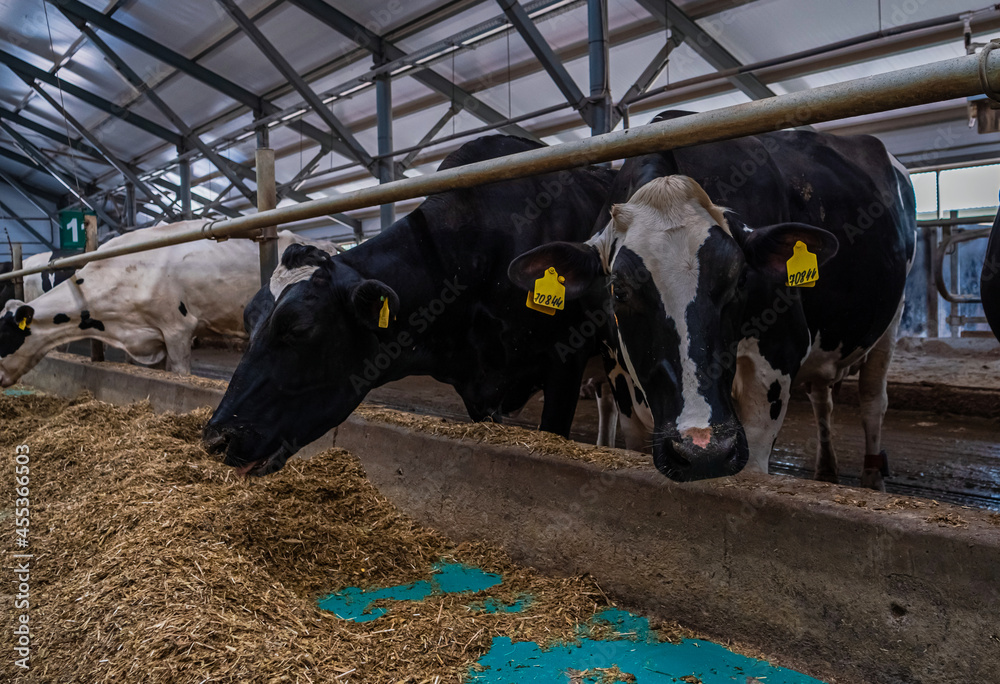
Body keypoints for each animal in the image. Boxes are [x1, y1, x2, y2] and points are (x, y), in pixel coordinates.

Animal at [510, 114, 916, 491]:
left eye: (739, 280)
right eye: (618, 291)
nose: (702, 450)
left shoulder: (778, 356)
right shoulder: (619, 375)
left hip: (890, 323)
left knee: (873, 400)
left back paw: (872, 477)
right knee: (822, 398)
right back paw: (826, 470)